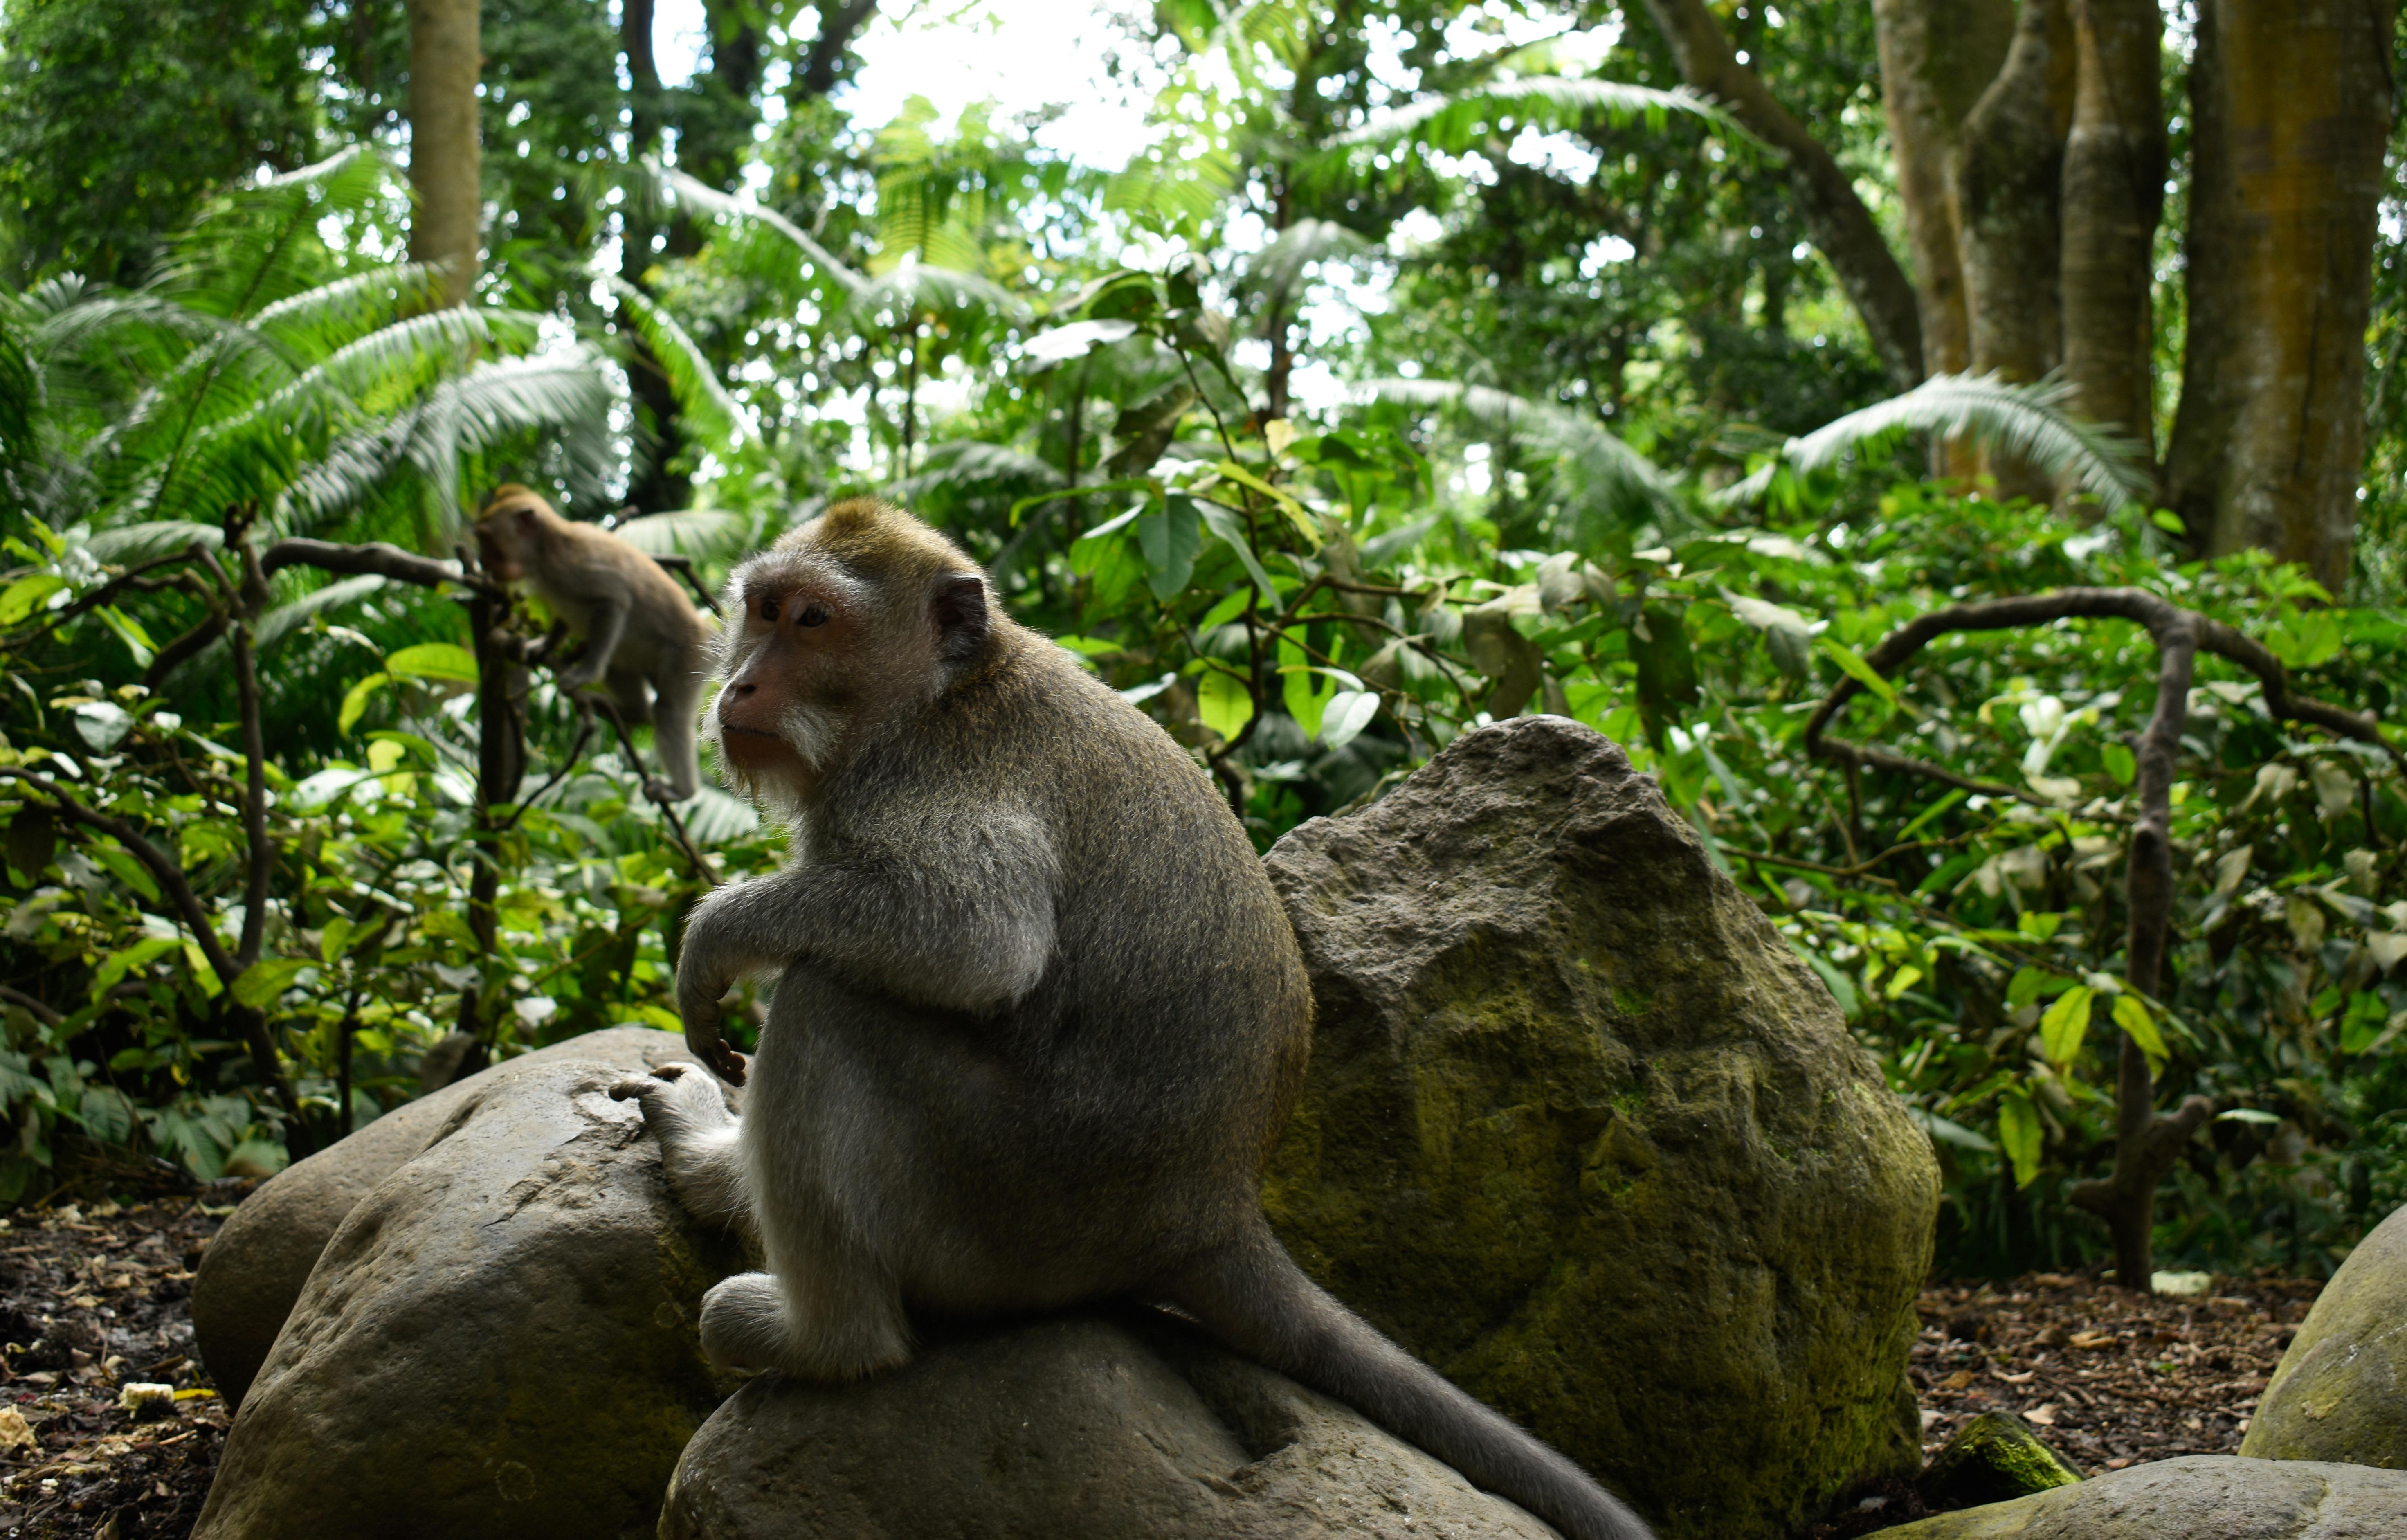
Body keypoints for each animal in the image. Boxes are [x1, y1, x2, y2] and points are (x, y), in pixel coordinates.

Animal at [473, 486, 713, 802]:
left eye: (486, 539)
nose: (483, 562)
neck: (544, 552)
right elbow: (562, 621)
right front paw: (543, 646)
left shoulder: (575, 563)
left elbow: (614, 601)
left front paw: (584, 674)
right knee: (621, 673)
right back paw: (632, 711)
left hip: (689, 655)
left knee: (669, 711)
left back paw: (682, 791)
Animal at [607, 498, 1656, 1540]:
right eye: (762, 609)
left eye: (814, 620)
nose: (740, 681)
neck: (937, 695)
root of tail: (1214, 1208)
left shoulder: (927, 782)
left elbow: (977, 938)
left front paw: (717, 935)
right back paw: (710, 1163)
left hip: (1009, 1208)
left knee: (833, 1003)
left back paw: (825, 1338)